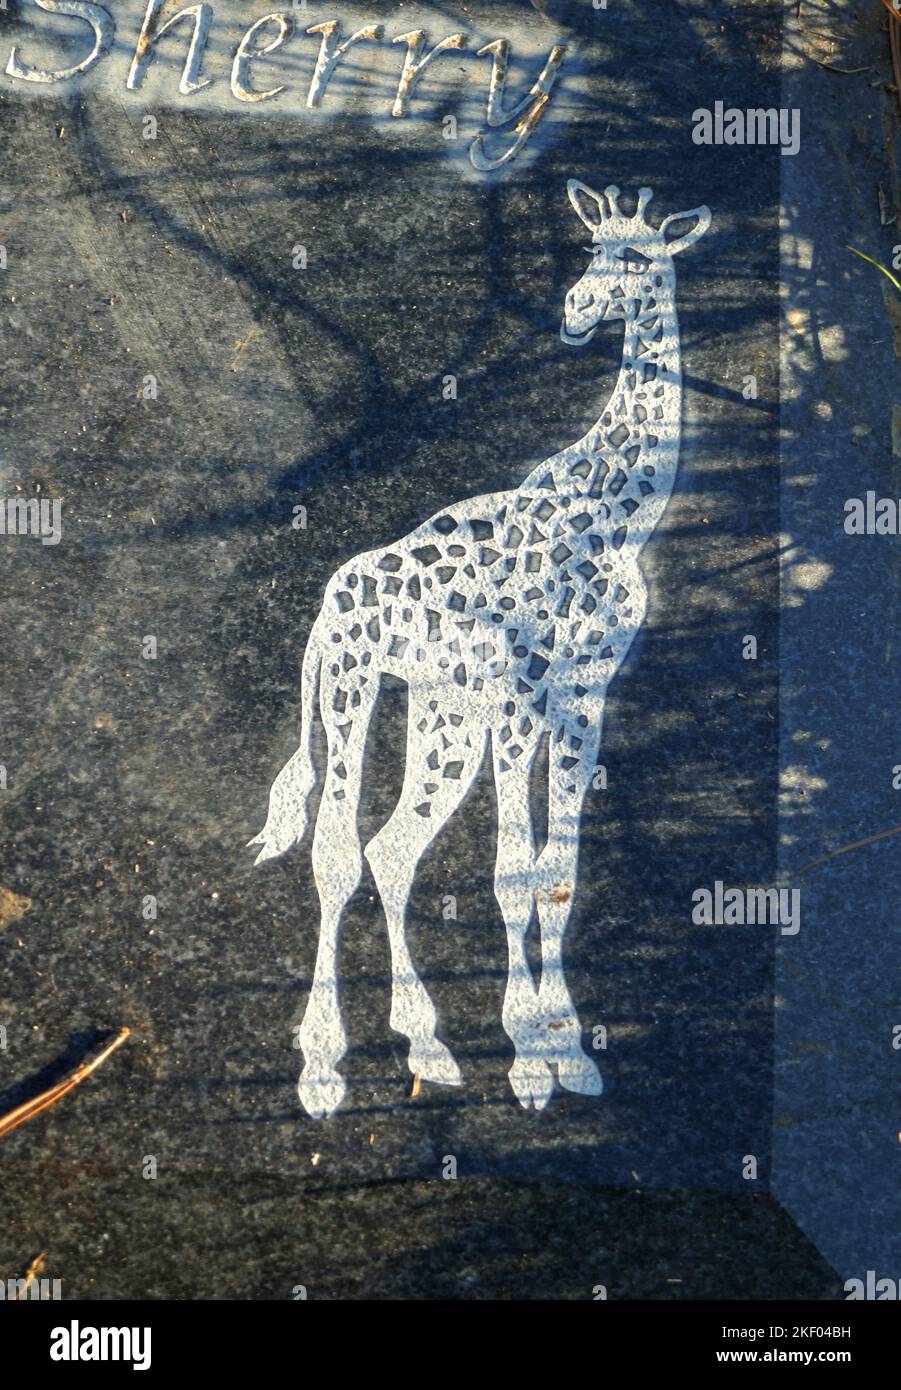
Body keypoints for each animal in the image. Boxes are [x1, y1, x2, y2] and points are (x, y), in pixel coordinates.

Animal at [249, 180, 711, 1117]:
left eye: (635, 256)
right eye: (591, 247)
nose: (575, 309)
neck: (617, 514)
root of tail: (322, 609)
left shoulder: (582, 695)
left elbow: (556, 869)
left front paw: (566, 1049)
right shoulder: (522, 694)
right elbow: (510, 870)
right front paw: (530, 1053)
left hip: (443, 717)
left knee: (392, 850)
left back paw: (427, 1043)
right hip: (354, 686)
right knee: (335, 850)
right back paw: (323, 1066)